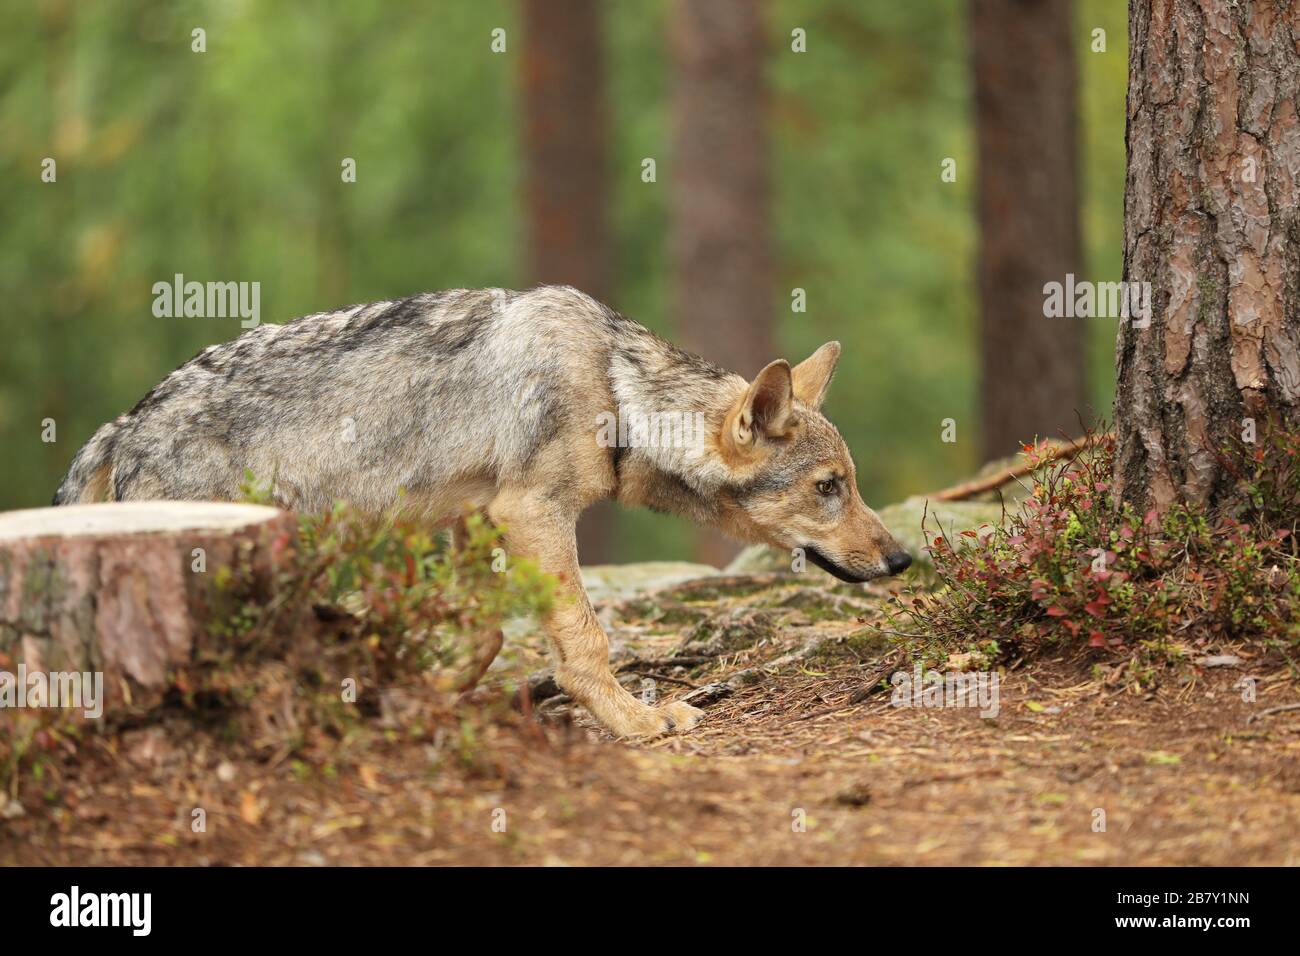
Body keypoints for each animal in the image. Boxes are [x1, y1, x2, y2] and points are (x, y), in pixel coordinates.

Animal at [55, 286, 912, 737]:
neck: (617, 393)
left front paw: (415, 689)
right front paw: (633, 720)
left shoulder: (482, 519)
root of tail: (121, 425)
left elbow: (484, 633)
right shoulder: (536, 514)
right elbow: (585, 640)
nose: (903, 557)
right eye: (829, 487)